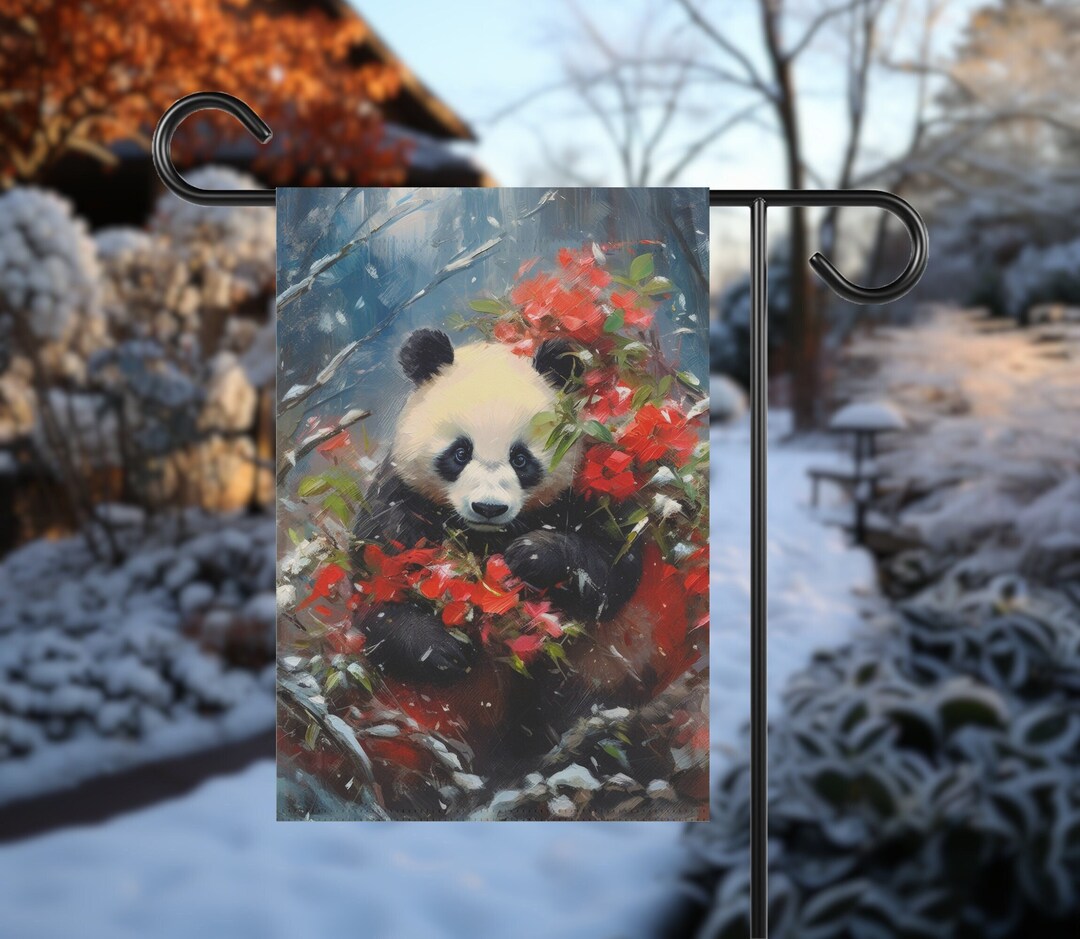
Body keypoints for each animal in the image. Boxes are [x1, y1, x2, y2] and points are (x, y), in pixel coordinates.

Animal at [350, 327, 648, 703]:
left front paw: (533, 554)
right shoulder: (396, 496)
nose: (488, 508)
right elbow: (377, 586)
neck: (485, 537)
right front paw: (439, 650)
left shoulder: (587, 488)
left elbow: (615, 568)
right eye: (460, 453)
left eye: (520, 459)